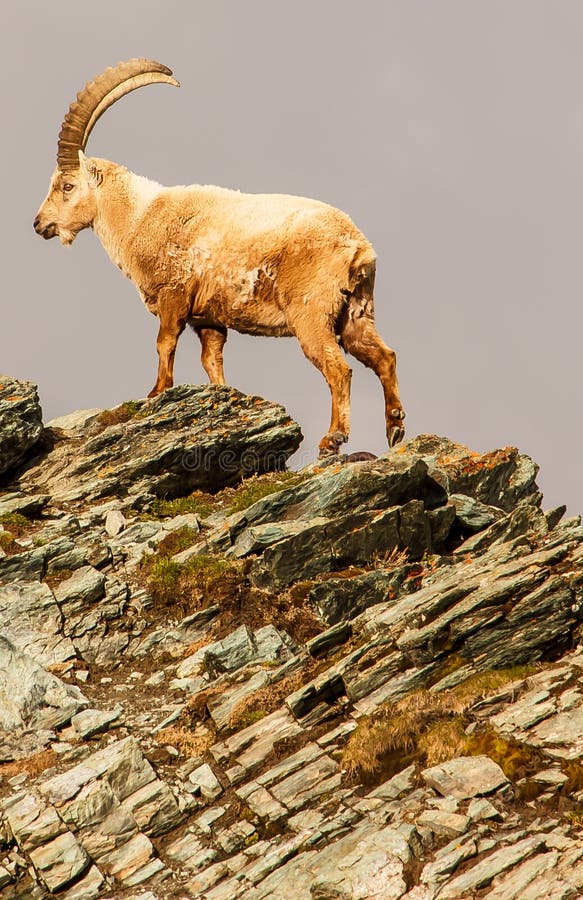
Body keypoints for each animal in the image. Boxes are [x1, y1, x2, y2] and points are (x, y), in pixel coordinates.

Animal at [34, 59, 405, 453]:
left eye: (67, 186)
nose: (40, 223)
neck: (139, 217)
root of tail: (358, 246)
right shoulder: (209, 318)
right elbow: (211, 360)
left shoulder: (174, 294)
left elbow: (164, 342)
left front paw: (157, 392)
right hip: (356, 310)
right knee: (383, 356)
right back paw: (395, 427)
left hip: (311, 311)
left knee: (338, 368)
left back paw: (333, 438)